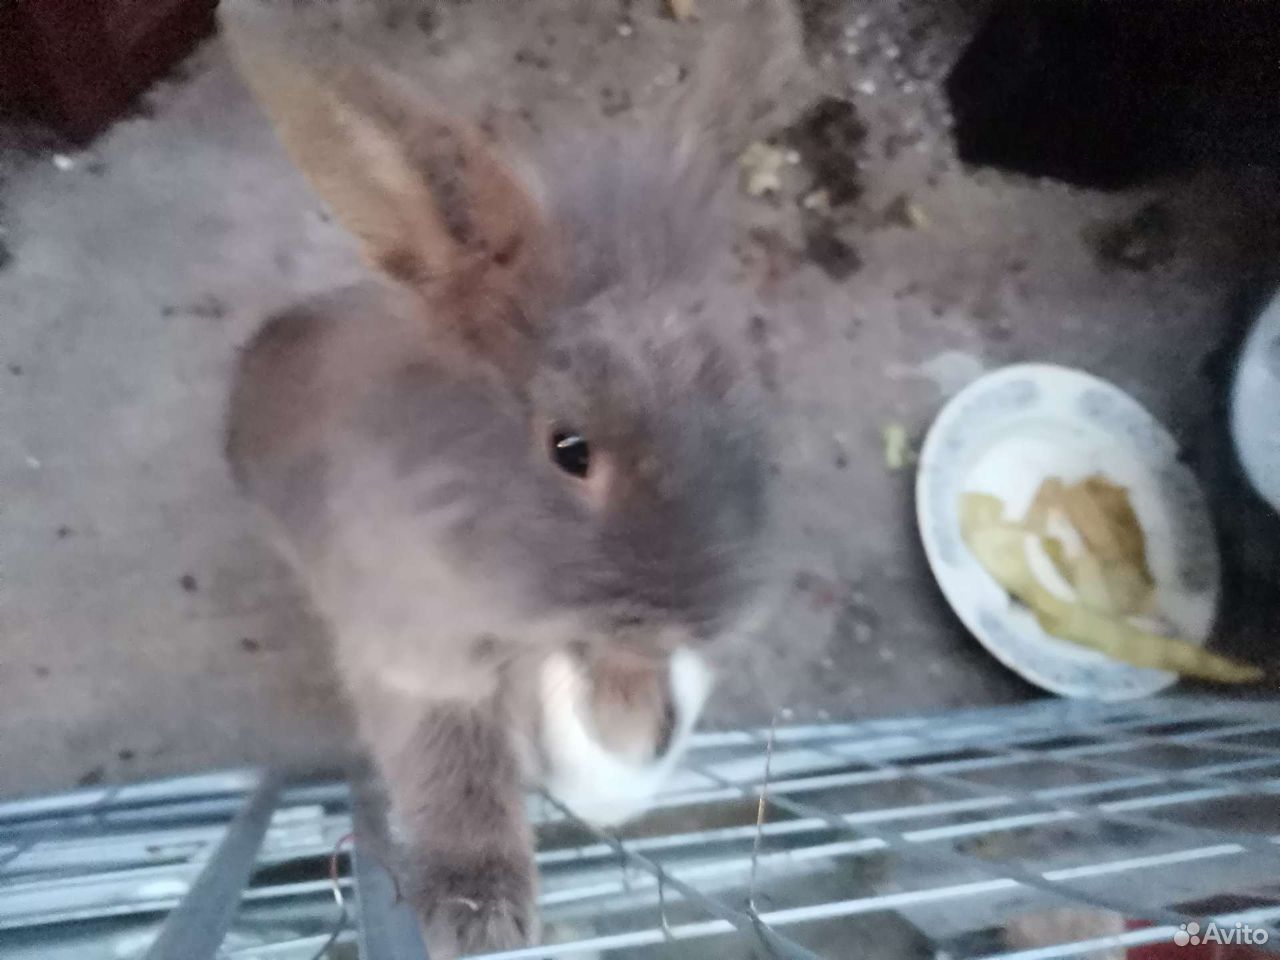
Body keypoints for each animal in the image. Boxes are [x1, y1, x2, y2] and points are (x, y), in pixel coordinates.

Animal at [220, 0, 803, 953]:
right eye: (570, 449)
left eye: (756, 392)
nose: (703, 616)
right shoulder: (416, 657)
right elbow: (454, 775)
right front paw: (482, 918)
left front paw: (628, 722)